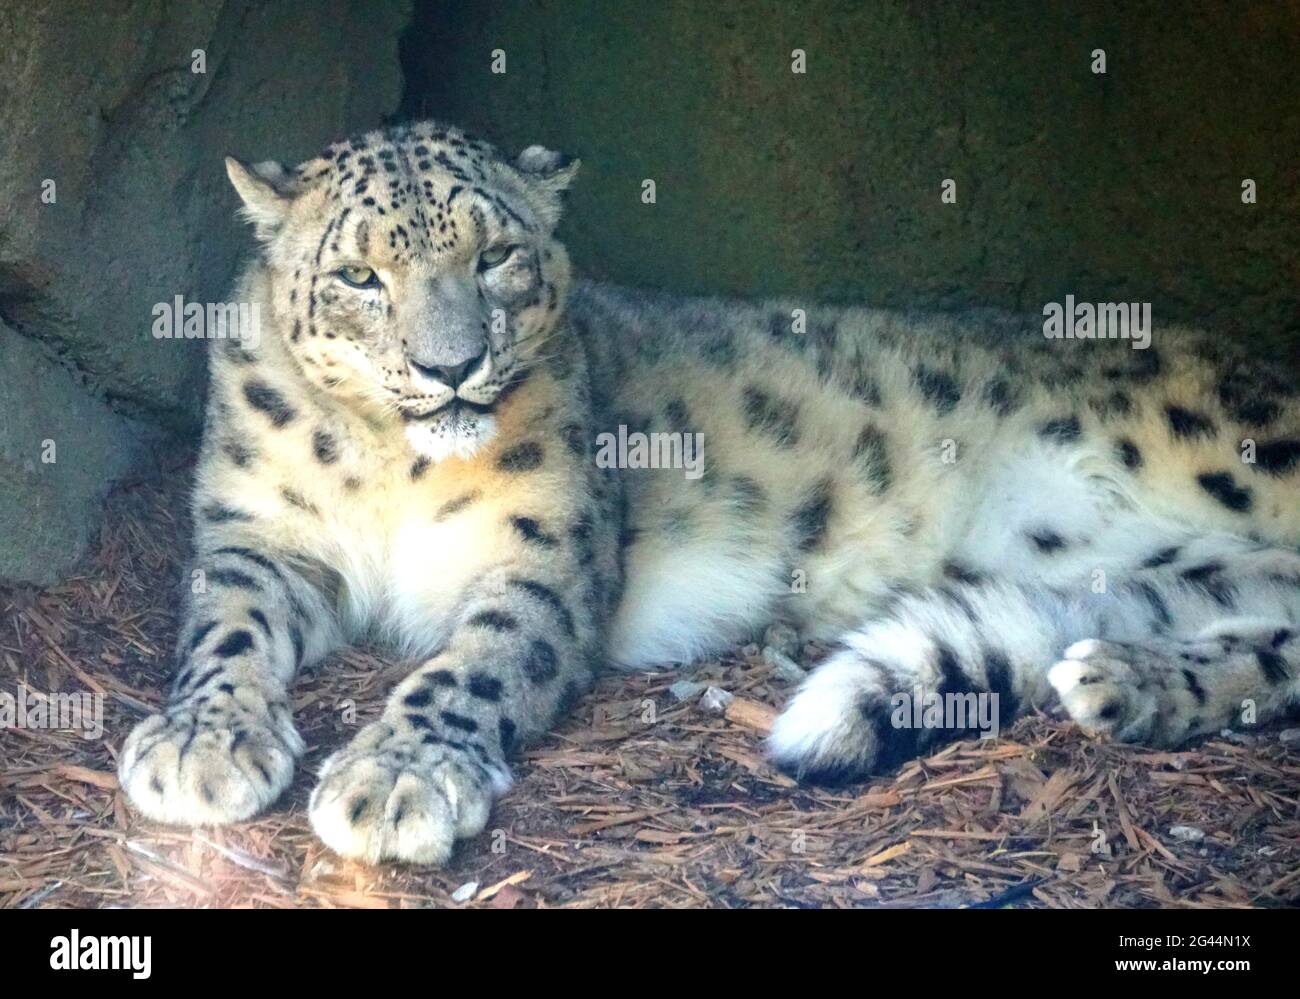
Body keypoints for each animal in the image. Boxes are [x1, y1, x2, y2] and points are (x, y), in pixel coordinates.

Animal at [118, 120, 1300, 865]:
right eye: (359, 276)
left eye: (497, 255)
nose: (451, 367)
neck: (388, 462)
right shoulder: (256, 537)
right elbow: (223, 630)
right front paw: (199, 743)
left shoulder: (541, 554)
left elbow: (477, 661)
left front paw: (400, 776)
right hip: (1171, 578)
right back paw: (1124, 680)